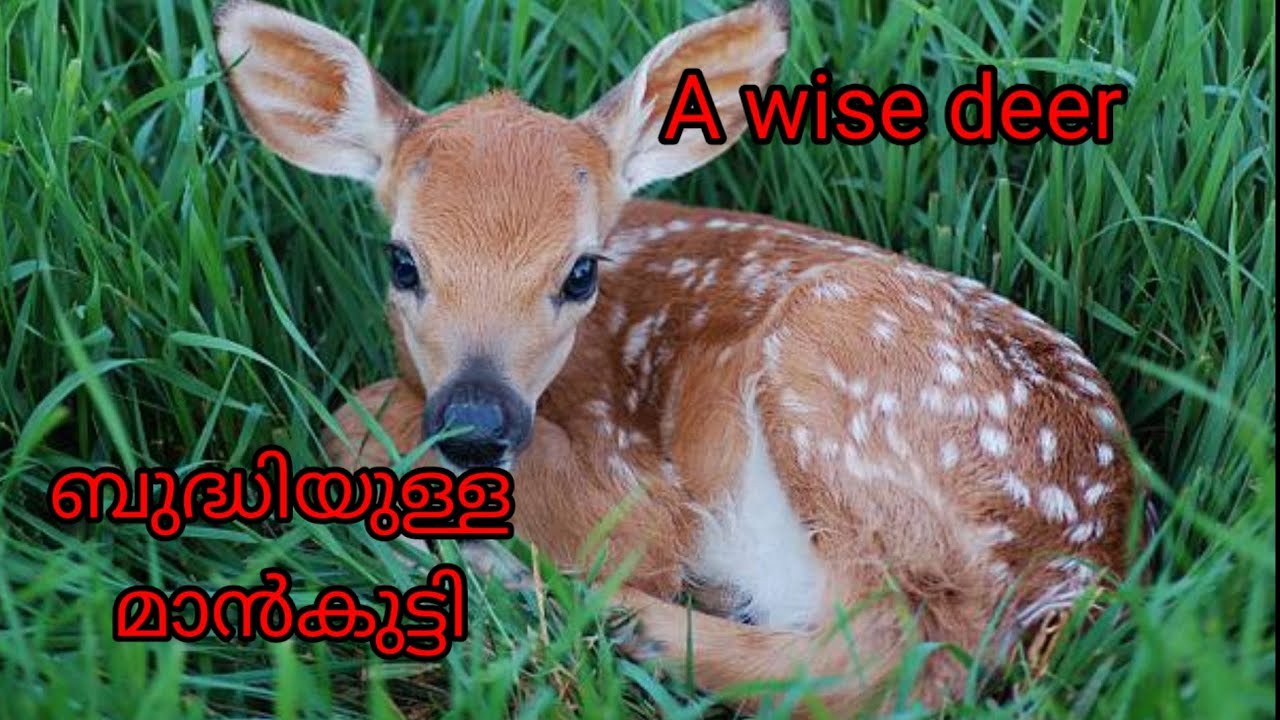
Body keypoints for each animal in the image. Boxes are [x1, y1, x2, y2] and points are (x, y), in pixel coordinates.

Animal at [214, 0, 1139, 715]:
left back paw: (595, 611)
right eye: (402, 261)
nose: (475, 423)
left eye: (581, 271)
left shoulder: (634, 484)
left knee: (898, 656)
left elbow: (357, 418)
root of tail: (1087, 563)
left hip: (838, 370)